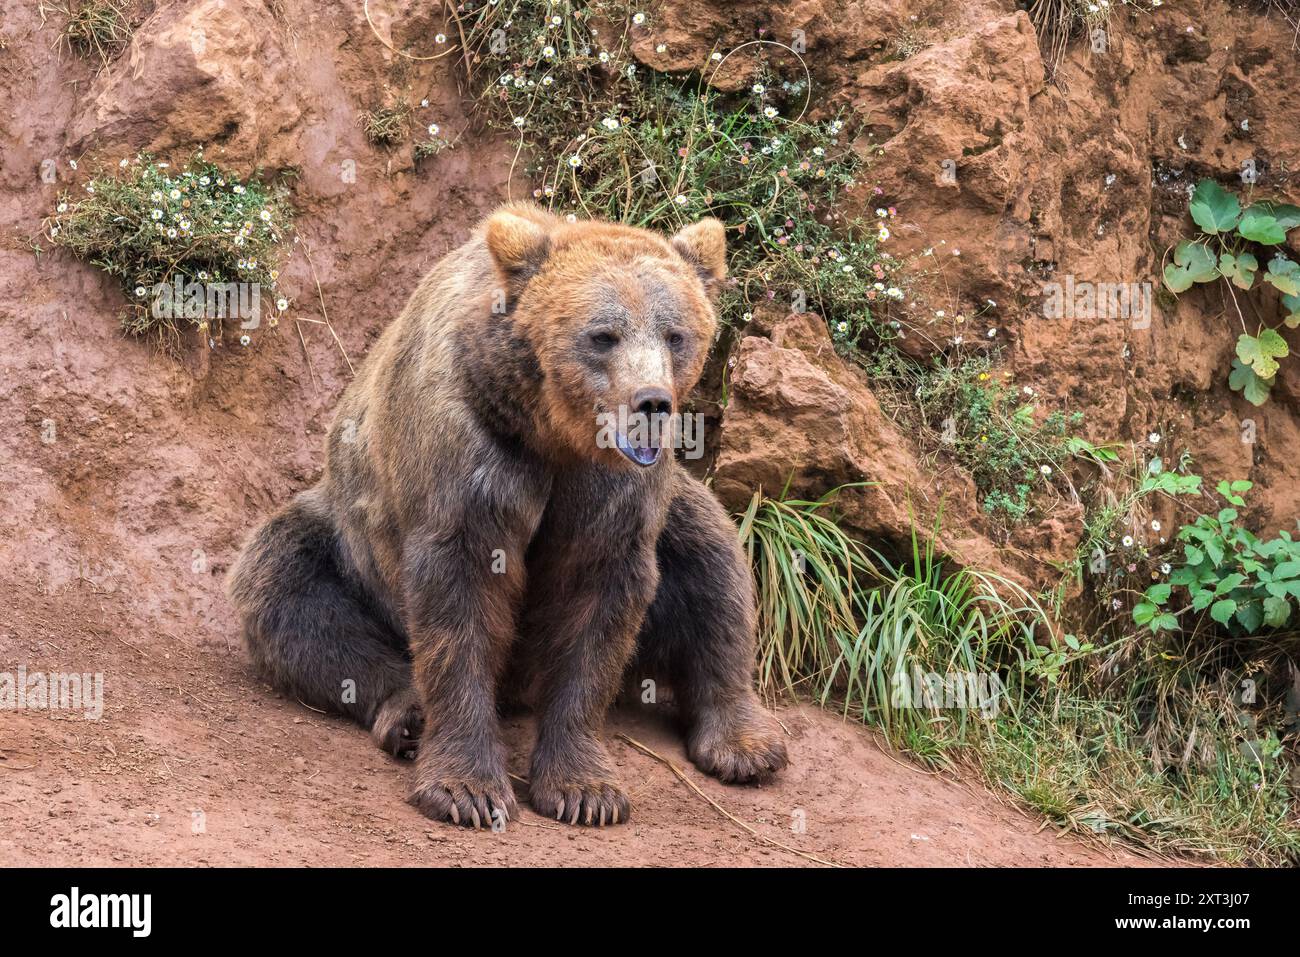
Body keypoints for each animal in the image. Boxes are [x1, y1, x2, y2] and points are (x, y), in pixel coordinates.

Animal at [227, 202, 788, 829]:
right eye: (603, 335)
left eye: (676, 335)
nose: (652, 403)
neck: (548, 434)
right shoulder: (469, 450)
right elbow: (459, 598)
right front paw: (467, 789)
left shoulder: (611, 491)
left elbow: (600, 599)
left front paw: (584, 789)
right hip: (347, 540)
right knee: (287, 583)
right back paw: (407, 713)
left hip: (676, 505)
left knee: (712, 557)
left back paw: (743, 744)